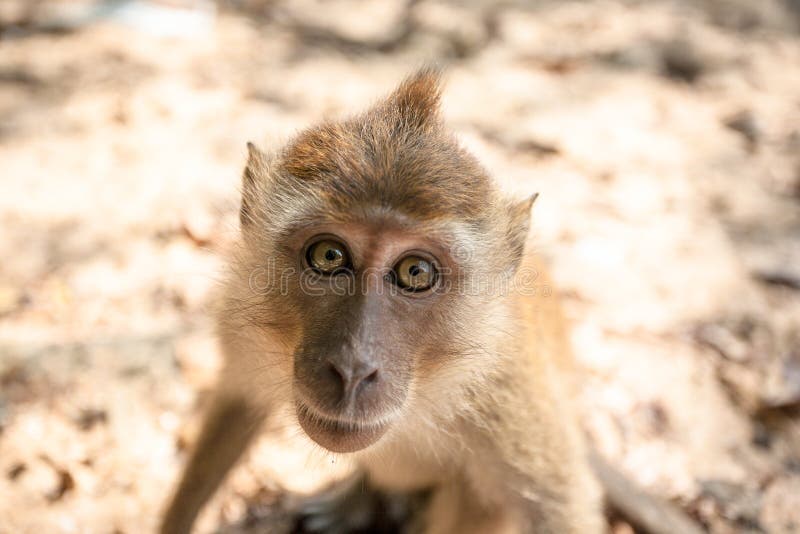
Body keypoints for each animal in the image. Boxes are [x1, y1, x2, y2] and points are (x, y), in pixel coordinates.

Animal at [160, 68, 702, 534]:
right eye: (329, 255)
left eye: (415, 273)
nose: (352, 369)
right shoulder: (241, 315)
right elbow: (236, 405)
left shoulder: (506, 391)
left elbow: (558, 503)